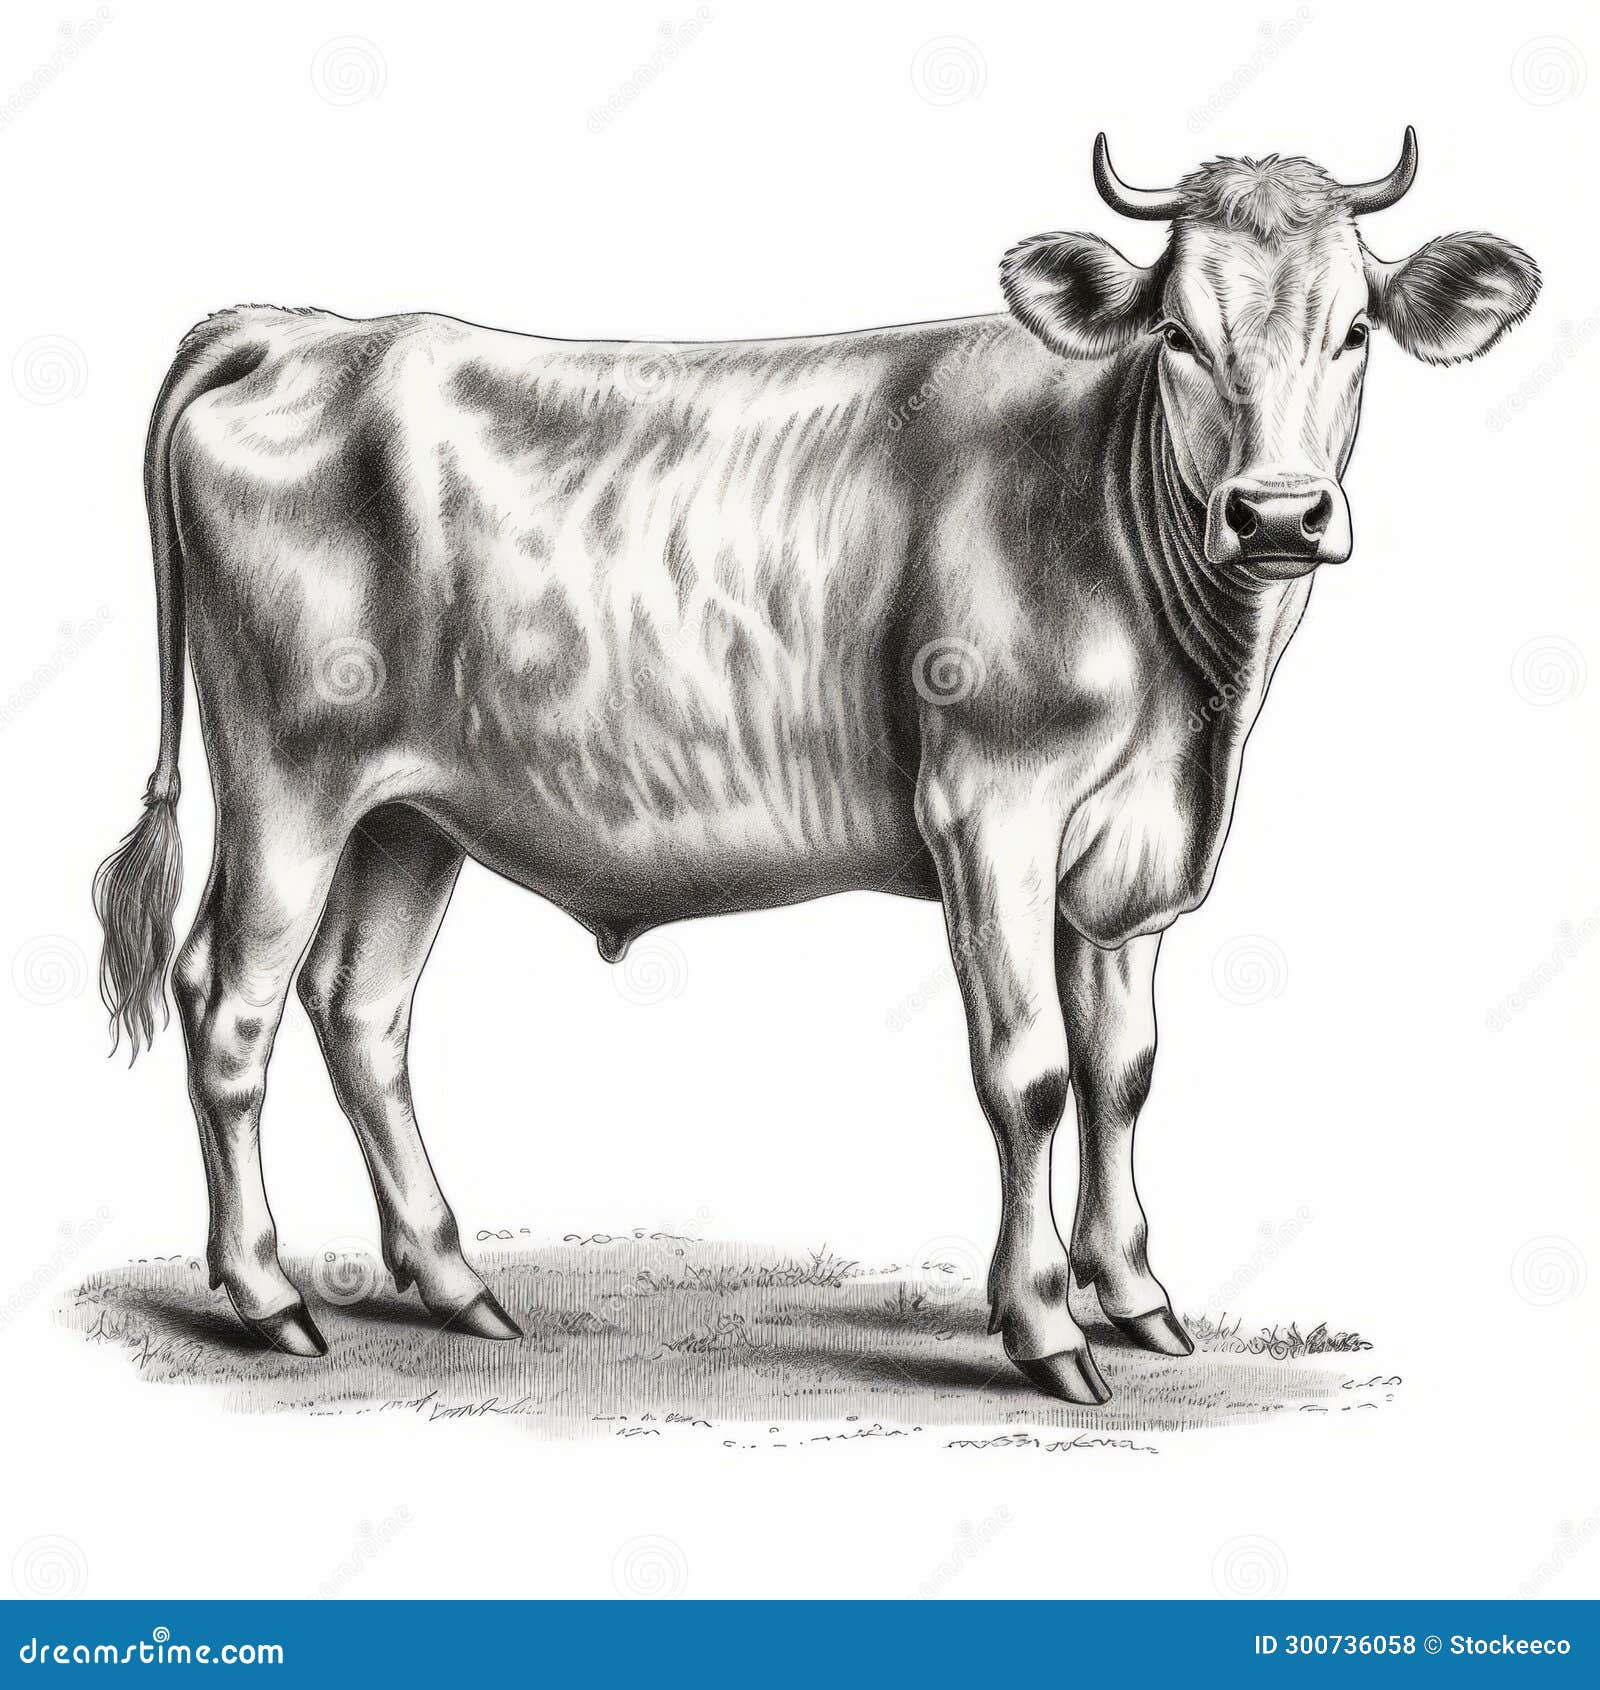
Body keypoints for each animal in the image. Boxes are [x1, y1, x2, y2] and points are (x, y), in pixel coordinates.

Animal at [94, 133, 1537, 1403]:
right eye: (1178, 334)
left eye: (1354, 331)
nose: (1279, 512)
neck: (1197, 697)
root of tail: (306, 330)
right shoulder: (990, 810)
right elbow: (1031, 1071)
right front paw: (1044, 1326)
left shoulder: (1130, 855)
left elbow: (1123, 1065)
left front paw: (1136, 1297)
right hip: (287, 776)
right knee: (228, 1004)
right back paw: (268, 1296)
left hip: (407, 814)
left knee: (359, 1009)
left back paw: (456, 1282)